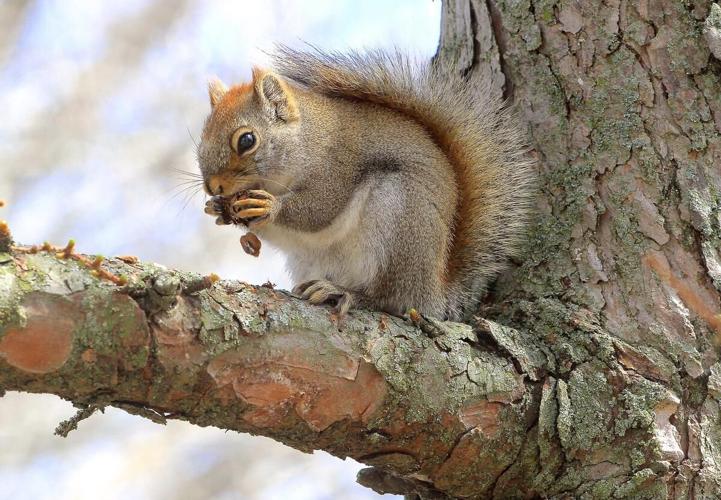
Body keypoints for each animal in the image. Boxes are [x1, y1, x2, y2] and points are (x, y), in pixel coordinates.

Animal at [198, 47, 535, 321]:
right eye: (201, 140)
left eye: (247, 140)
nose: (213, 187)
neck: (306, 139)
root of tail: (433, 293)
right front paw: (218, 209)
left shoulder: (339, 165)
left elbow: (321, 208)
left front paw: (268, 206)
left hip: (398, 219)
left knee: (388, 299)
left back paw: (346, 293)